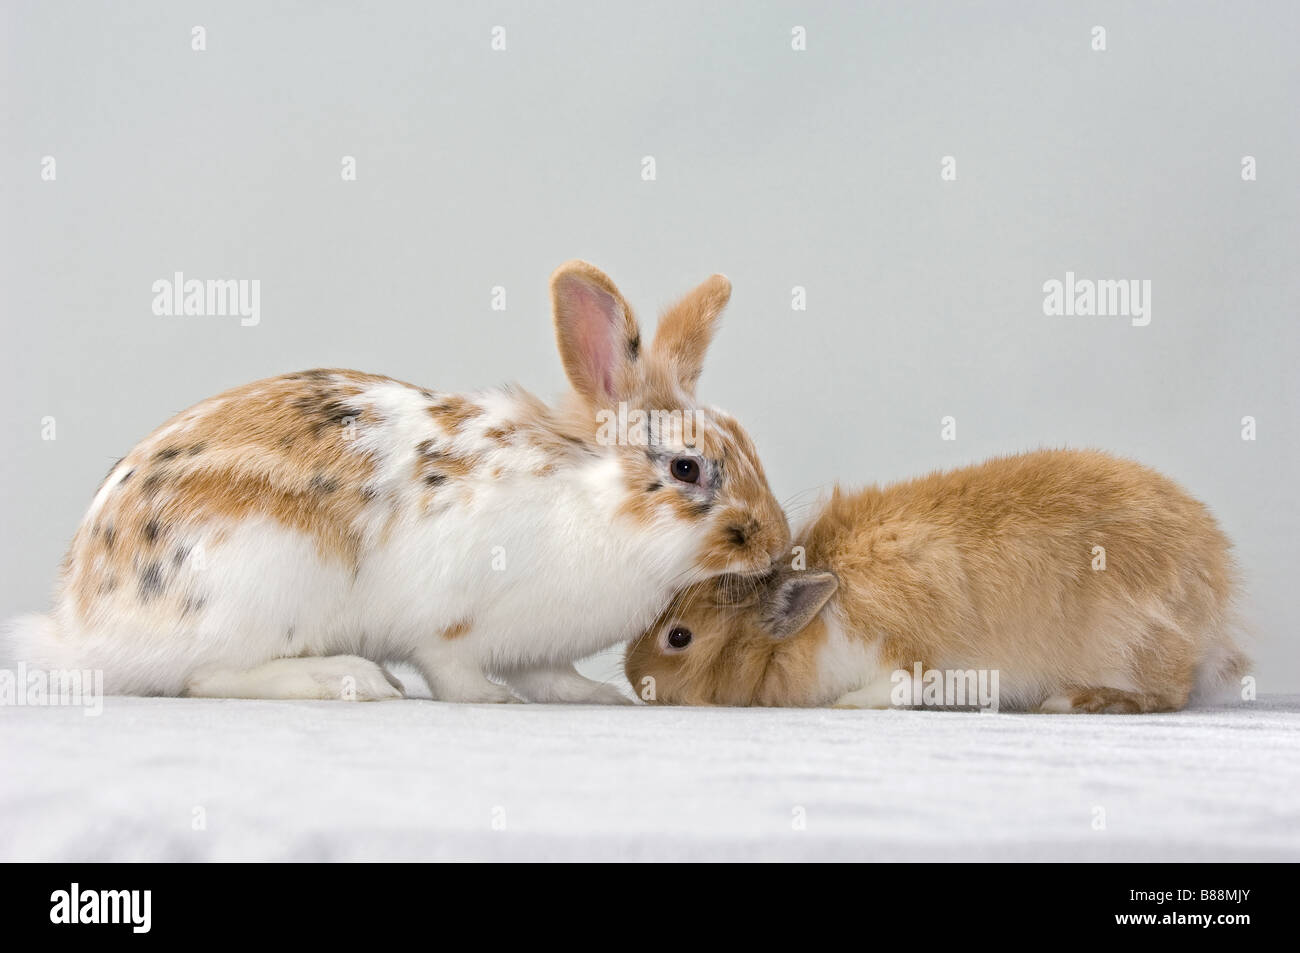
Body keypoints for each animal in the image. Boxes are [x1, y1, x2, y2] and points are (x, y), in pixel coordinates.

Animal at [4, 261, 790, 704]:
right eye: (686, 468)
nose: (778, 545)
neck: (595, 507)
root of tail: (81, 627)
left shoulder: (540, 646)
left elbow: (550, 674)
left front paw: (594, 696)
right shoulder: (448, 623)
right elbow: (452, 670)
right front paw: (489, 701)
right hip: (257, 588)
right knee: (204, 676)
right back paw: (345, 680)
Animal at [625, 449, 1250, 713]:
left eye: (678, 637)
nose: (634, 680)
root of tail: (1214, 606)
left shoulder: (892, 649)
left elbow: (900, 689)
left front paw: (850, 705)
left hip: (1128, 644)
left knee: (1167, 695)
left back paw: (1075, 701)